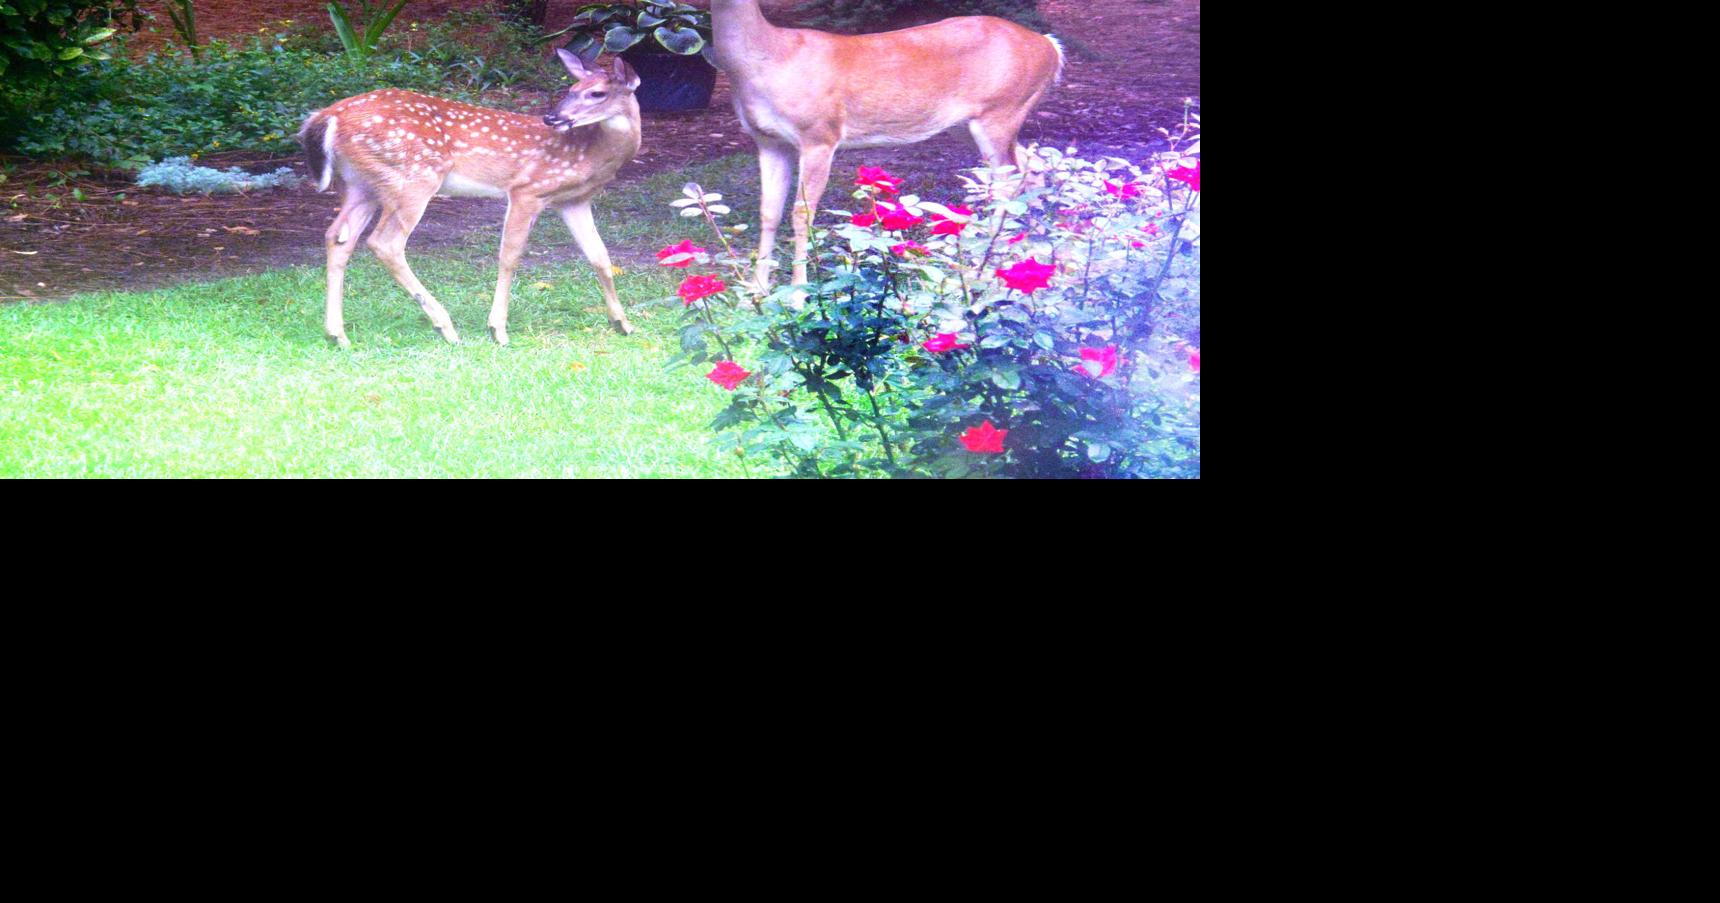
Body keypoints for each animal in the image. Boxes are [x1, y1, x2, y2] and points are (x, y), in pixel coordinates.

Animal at [297, 50, 642, 348]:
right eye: (572, 88)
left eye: (596, 93)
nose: (553, 117)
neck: (588, 153)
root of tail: (327, 117)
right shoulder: (527, 189)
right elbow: (510, 256)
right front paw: (498, 329)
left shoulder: (573, 201)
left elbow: (600, 256)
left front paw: (622, 324)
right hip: (413, 178)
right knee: (385, 242)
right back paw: (445, 327)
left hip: (362, 185)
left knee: (338, 237)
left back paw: (337, 335)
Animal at [710, 0, 1065, 291]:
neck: (772, 59)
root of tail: (1050, 45)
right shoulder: (768, 142)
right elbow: (768, 212)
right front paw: (756, 292)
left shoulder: (820, 135)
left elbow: (801, 215)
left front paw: (799, 293)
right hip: (969, 123)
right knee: (1032, 166)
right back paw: (1036, 252)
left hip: (1001, 110)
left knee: (1007, 186)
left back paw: (988, 266)